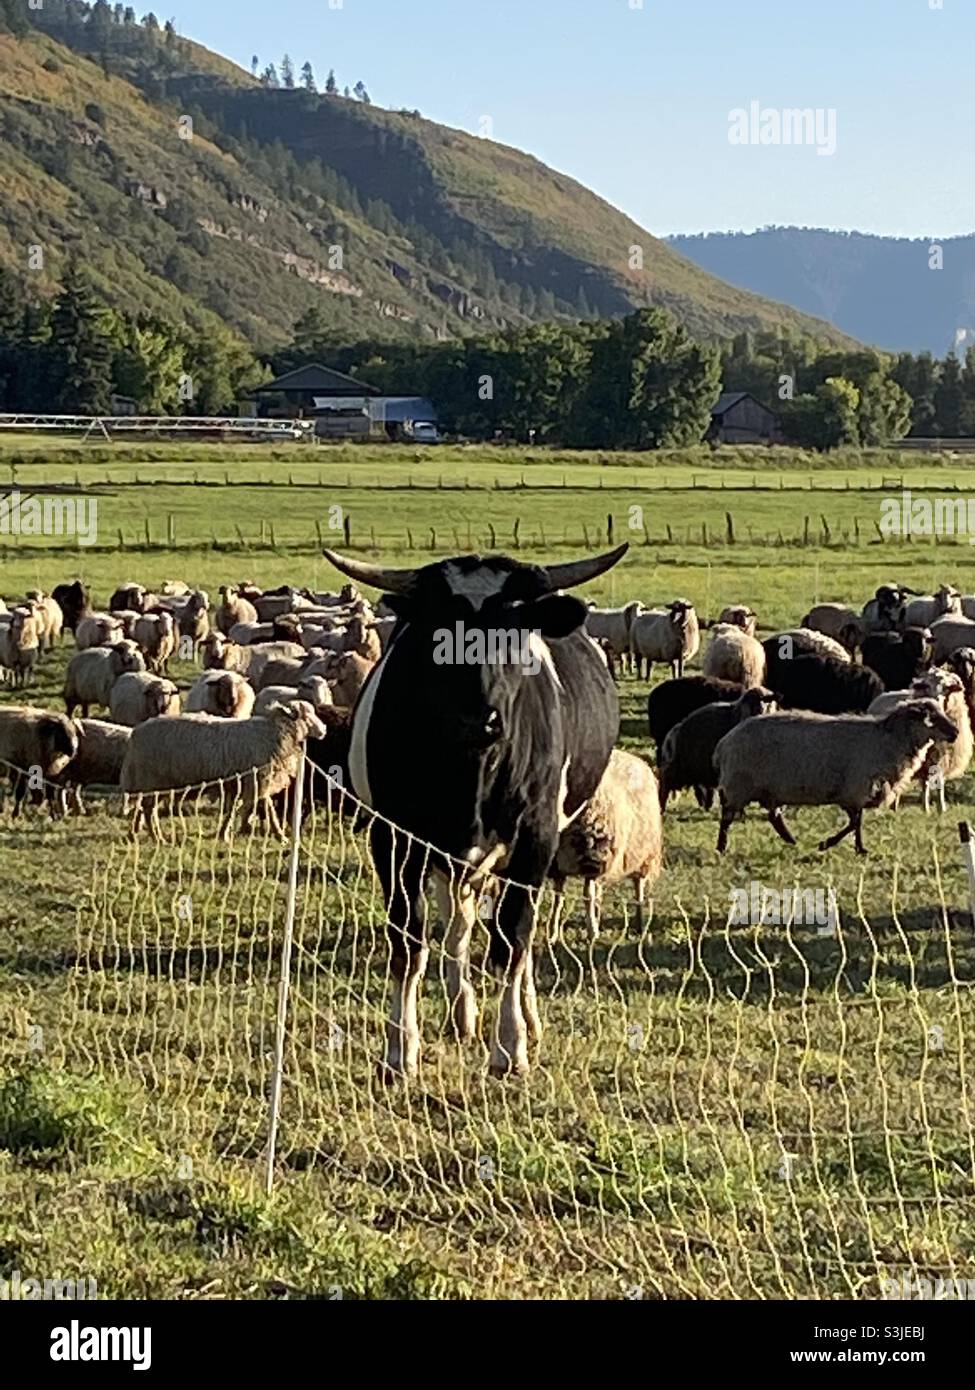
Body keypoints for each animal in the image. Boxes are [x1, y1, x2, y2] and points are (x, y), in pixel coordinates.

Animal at [120, 701, 328, 840]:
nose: (324, 730)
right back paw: (157, 837)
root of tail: (136, 733)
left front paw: (224, 833)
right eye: (307, 715)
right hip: (153, 778)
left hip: (155, 781)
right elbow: (264, 807)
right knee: (148, 809)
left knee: (144, 807)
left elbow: (241, 807)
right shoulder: (257, 779)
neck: (274, 733)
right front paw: (280, 836)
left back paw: (138, 833)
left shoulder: (245, 782)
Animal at [322, 544, 628, 1079]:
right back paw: (460, 1012)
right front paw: (400, 1050)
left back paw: (526, 1017)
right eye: (439, 629)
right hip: (449, 857)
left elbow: (511, 939)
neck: (472, 768)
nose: (479, 718)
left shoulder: (535, 841)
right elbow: (408, 940)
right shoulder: (393, 838)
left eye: (516, 629)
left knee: (513, 934)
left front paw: (509, 1047)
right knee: (458, 924)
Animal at [549, 749, 662, 939]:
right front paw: (552, 932)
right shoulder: (558, 865)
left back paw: (639, 924)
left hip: (642, 854)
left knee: (638, 887)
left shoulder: (593, 861)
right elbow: (558, 896)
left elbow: (587, 895)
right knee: (600, 892)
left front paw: (592, 933)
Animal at [713, 698, 957, 855]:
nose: (955, 733)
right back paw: (721, 847)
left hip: (767, 790)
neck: (888, 740)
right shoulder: (855, 789)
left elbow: (856, 822)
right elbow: (855, 822)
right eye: (931, 718)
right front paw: (829, 844)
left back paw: (791, 840)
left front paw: (859, 849)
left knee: (774, 817)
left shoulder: (858, 792)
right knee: (727, 817)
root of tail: (724, 743)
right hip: (739, 785)